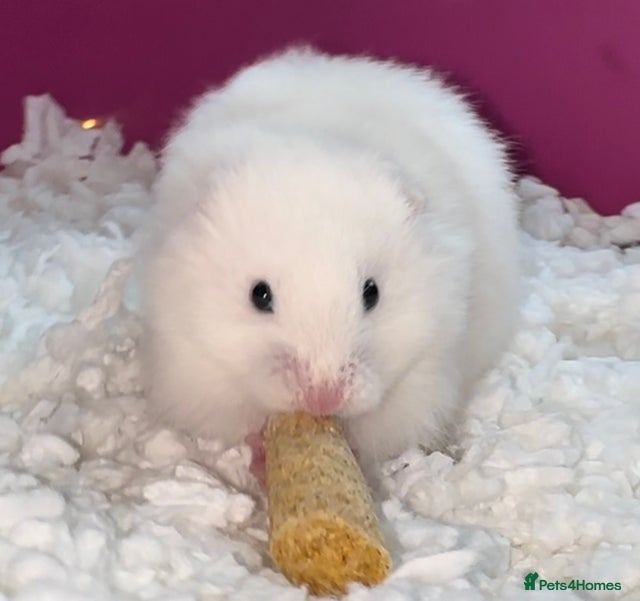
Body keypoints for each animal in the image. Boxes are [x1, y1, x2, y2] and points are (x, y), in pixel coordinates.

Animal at [140, 47, 520, 477]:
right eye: (259, 295)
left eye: (372, 293)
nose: (323, 398)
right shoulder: (195, 370)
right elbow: (237, 420)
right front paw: (261, 452)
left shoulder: (424, 375)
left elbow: (378, 429)